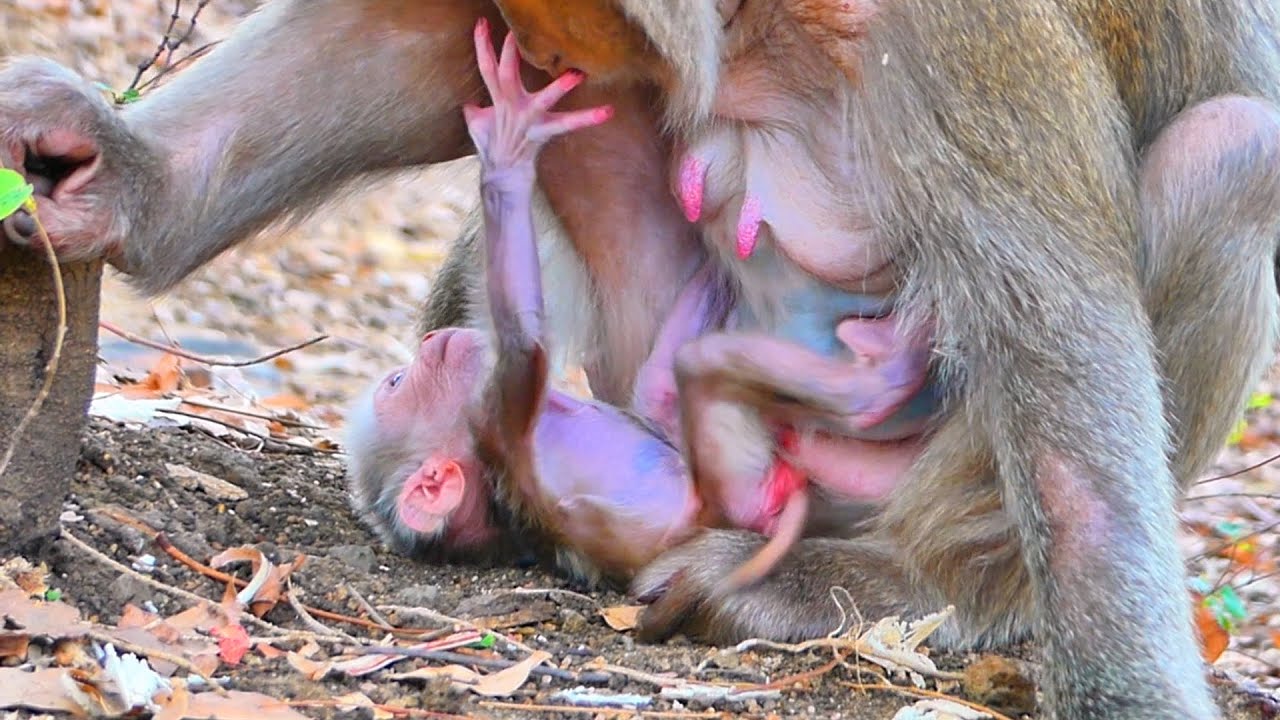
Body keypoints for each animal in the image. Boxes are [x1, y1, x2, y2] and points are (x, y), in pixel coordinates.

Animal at [4, 1, 1280, 717]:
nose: (552, 46)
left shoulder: (963, 35)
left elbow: (1054, 320)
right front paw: (132, 177)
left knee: (1229, 150)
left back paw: (925, 579)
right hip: (678, 370)